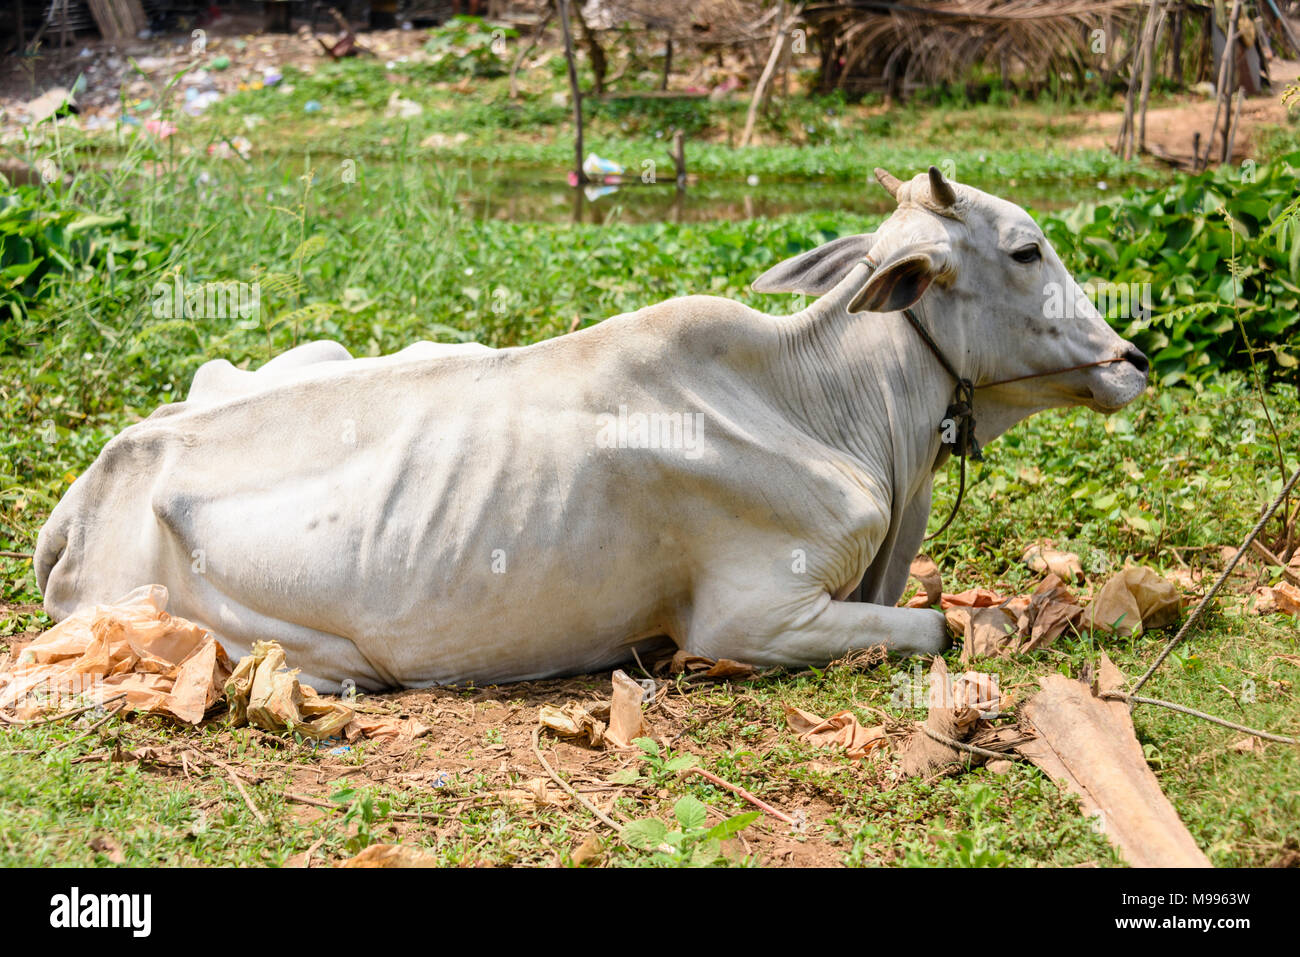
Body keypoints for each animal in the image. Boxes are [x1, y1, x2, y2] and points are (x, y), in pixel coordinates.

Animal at [35, 167, 1149, 692]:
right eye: (1026, 249)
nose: (1132, 359)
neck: (827, 403)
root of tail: (92, 486)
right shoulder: (753, 617)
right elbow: (936, 626)